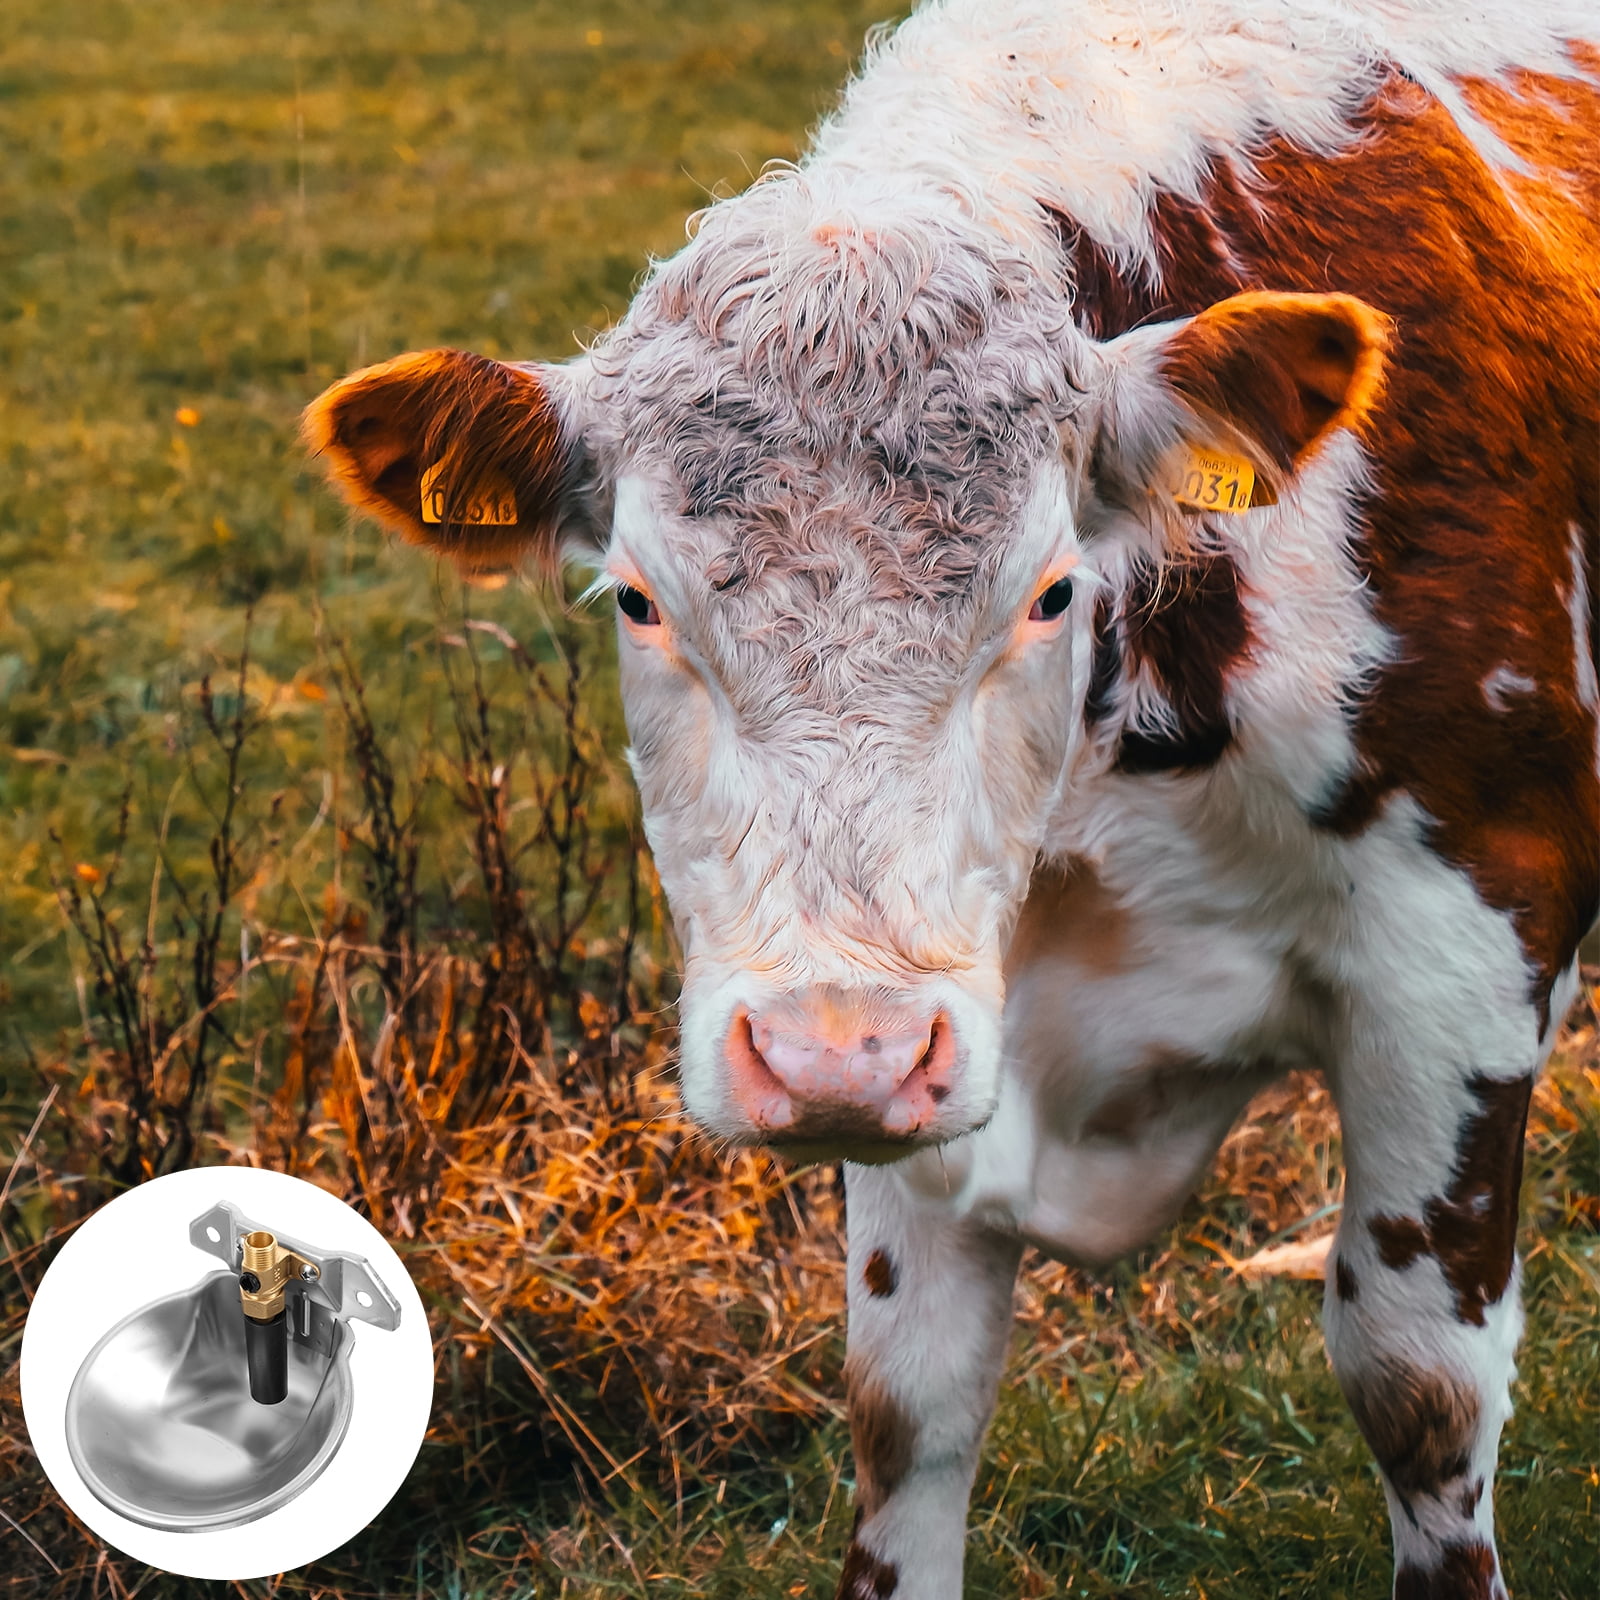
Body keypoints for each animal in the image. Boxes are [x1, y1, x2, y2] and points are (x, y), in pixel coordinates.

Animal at [301, 2, 1599, 1594]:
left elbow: (1418, 1387)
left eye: (1050, 592)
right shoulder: (926, 1051)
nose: (828, 1059)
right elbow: (906, 1407)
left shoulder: (1464, 951)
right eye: (639, 599)